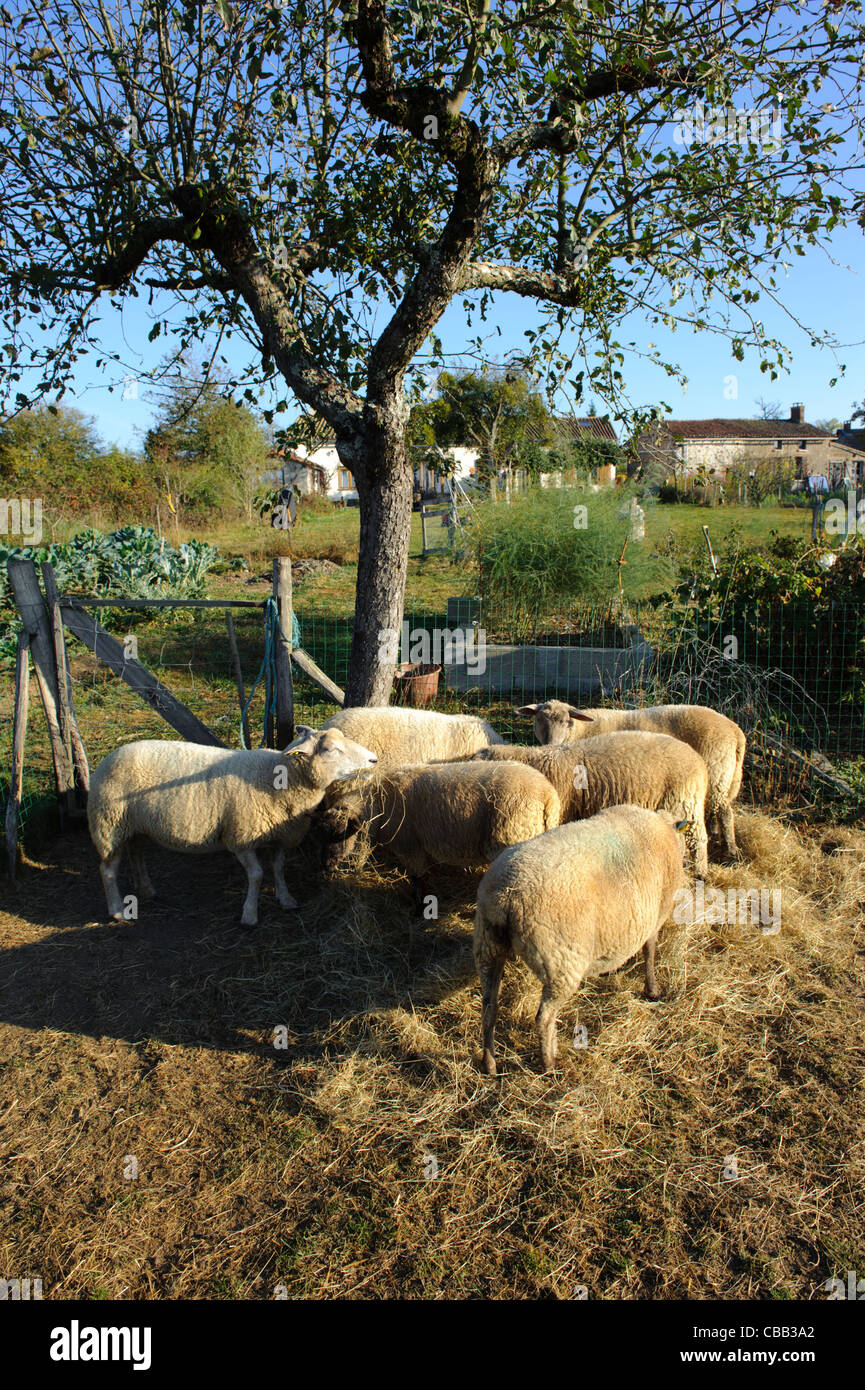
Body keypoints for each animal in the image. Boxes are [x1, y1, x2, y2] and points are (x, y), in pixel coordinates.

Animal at [87, 726, 378, 927]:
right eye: (330, 749)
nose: (374, 760)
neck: (276, 776)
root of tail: (108, 757)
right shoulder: (241, 838)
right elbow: (258, 875)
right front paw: (249, 914)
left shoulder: (280, 836)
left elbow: (278, 869)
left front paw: (286, 900)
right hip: (110, 825)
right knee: (108, 869)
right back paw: (117, 910)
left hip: (135, 825)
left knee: (136, 854)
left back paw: (147, 890)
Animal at [318, 760, 561, 909]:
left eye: (340, 833)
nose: (326, 867)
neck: (378, 802)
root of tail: (547, 795)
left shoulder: (410, 847)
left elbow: (418, 879)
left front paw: (419, 907)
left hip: (513, 838)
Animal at [474, 805, 689, 1074]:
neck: (664, 829)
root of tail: (507, 894)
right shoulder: (655, 915)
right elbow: (650, 952)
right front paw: (653, 990)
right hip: (561, 962)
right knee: (543, 1017)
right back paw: (549, 1064)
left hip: (488, 945)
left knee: (488, 1007)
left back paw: (490, 1063)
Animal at [517, 699, 746, 860]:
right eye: (538, 719)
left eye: (566, 721)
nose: (550, 743)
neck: (581, 729)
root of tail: (735, 730)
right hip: (721, 778)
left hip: (715, 774)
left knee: (724, 811)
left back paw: (731, 850)